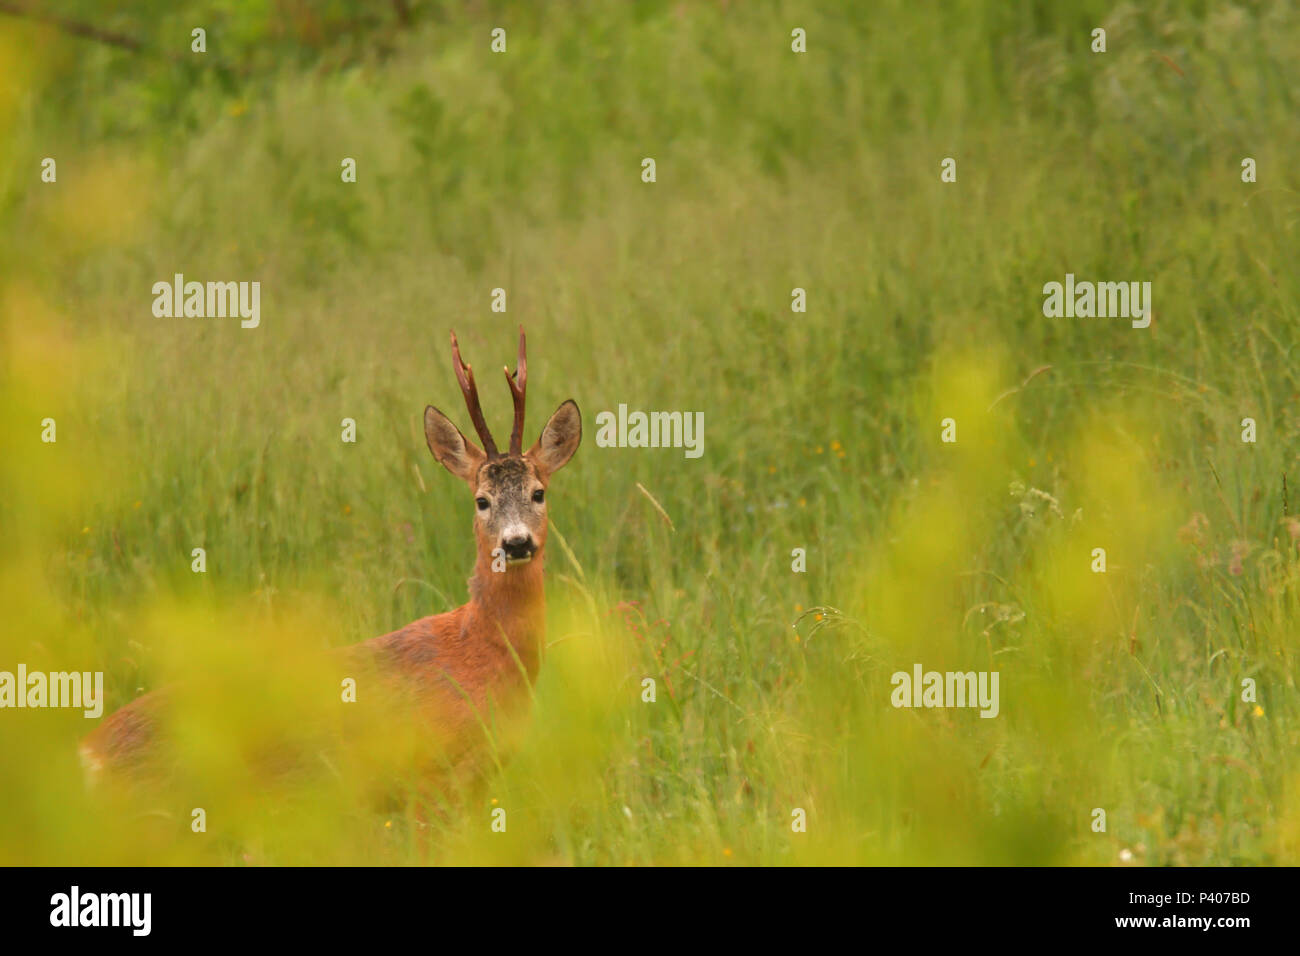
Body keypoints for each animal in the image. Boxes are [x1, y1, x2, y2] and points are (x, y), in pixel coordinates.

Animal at [80, 326, 582, 813]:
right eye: (481, 501)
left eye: (538, 493)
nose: (515, 543)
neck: (478, 648)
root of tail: (88, 755)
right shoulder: (429, 782)